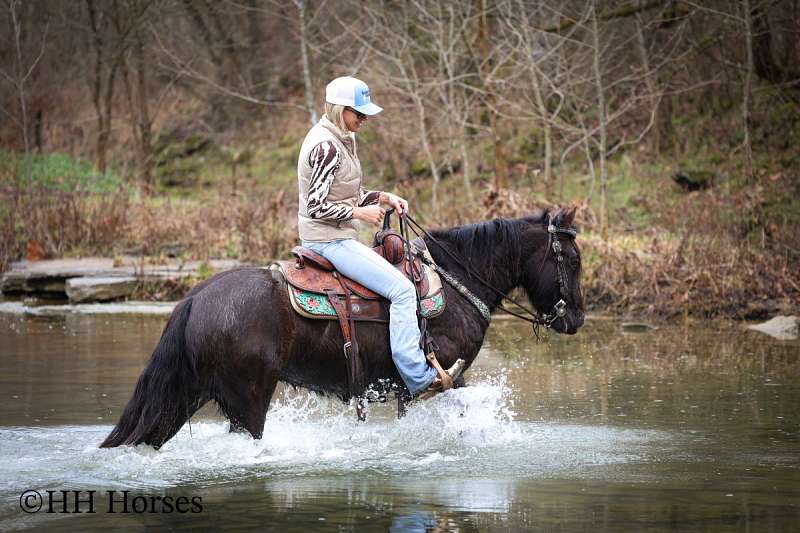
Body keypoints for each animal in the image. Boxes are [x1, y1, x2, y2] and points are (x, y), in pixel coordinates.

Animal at [100, 207, 585, 449]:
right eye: (574, 259)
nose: (576, 319)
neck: (454, 281)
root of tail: (195, 298)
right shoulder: (445, 377)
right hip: (247, 400)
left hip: (191, 393)